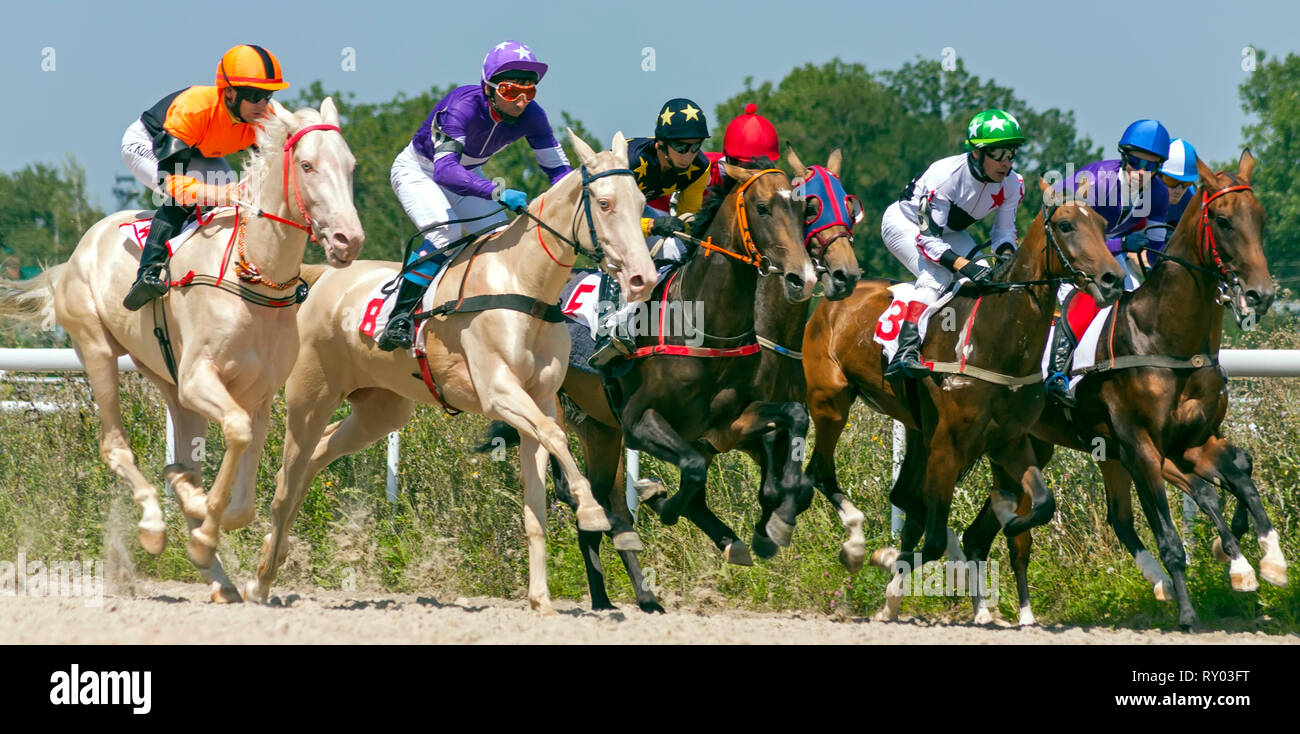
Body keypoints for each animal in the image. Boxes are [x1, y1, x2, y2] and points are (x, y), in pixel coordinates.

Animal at [0, 99, 363, 602]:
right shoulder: (200, 379)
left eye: (350, 166)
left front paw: (204, 519)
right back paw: (154, 527)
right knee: (116, 447)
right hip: (98, 349)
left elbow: (243, 499)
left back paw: (216, 571)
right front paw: (203, 525)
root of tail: (80, 249)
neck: (253, 275)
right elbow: (234, 435)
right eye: (307, 166)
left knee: (181, 459)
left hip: (169, 382)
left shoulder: (258, 397)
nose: (350, 240)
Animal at [244, 132, 659, 614]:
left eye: (640, 202)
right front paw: (591, 510)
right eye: (605, 203)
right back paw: (260, 580)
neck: (523, 285)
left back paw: (270, 564)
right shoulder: (499, 393)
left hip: (380, 411)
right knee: (288, 476)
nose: (643, 278)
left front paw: (541, 598)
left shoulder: (540, 401)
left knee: (316, 456)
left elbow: (537, 499)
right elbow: (556, 438)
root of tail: (323, 277)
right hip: (311, 395)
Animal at [802, 178, 1125, 621]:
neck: (995, 340)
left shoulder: (1009, 440)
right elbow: (936, 540)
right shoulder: (948, 445)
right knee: (821, 471)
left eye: (1102, 223)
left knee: (903, 497)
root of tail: (833, 296)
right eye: (1065, 225)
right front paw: (888, 569)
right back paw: (855, 548)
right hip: (831, 401)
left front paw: (1005, 519)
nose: (1112, 279)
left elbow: (1042, 505)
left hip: (916, 429)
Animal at [962, 151, 1284, 629]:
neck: (1164, 337)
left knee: (1002, 530)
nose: (1261, 294)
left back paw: (997, 610)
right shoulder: (1141, 446)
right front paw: (1192, 609)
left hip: (1048, 449)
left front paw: (1266, 557)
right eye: (1223, 220)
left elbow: (1240, 475)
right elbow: (1174, 531)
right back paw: (1013, 612)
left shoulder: (1192, 439)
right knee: (1007, 534)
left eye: (1259, 218)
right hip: (1018, 449)